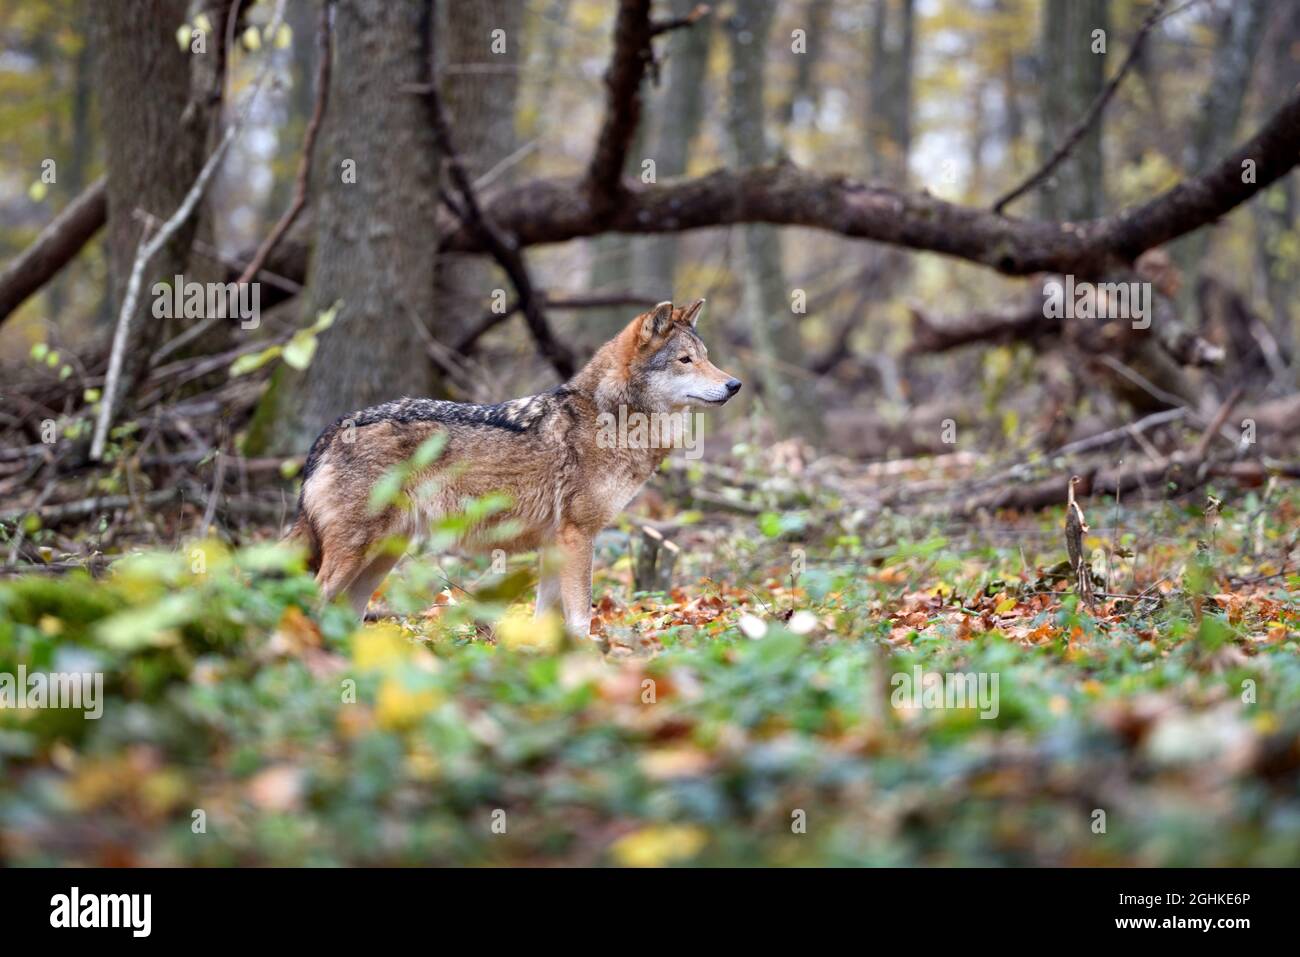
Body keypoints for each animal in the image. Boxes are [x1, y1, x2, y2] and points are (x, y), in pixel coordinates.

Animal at [289, 299, 741, 639]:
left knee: (344, 612)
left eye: (706, 358)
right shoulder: (578, 536)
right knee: (310, 599)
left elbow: (548, 617)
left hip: (382, 557)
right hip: (357, 552)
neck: (612, 418)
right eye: (685, 360)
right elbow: (581, 616)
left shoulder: (556, 544)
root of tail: (331, 429)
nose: (734, 384)